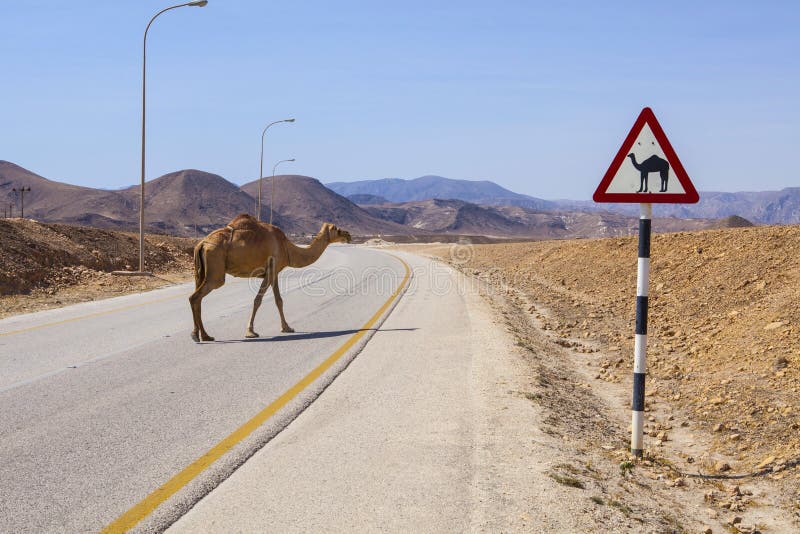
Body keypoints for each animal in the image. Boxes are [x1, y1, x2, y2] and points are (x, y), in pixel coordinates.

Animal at [189, 213, 352, 342]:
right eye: (336, 228)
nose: (348, 234)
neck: (287, 248)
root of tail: (201, 244)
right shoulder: (271, 270)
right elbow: (258, 300)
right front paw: (250, 331)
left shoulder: (274, 273)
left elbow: (278, 300)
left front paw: (287, 327)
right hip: (215, 268)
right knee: (196, 297)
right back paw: (199, 335)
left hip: (200, 272)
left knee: (196, 298)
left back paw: (202, 335)